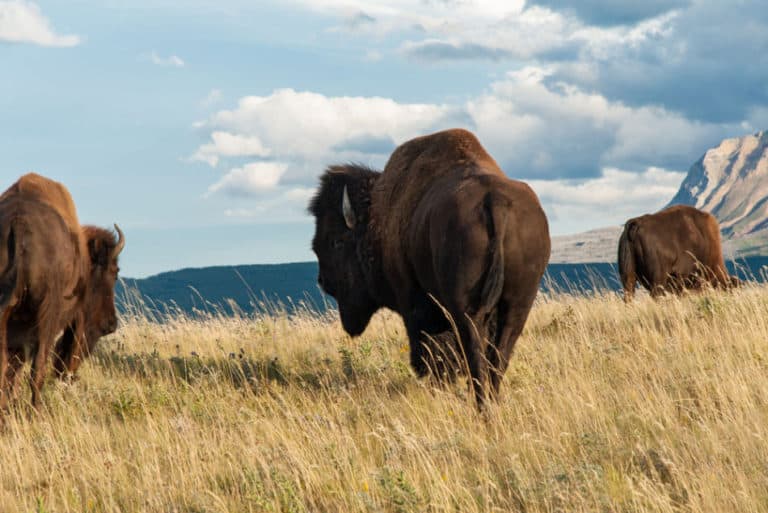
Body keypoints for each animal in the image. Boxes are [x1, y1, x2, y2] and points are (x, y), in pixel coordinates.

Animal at [309, 128, 550, 407]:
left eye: (336, 241)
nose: (323, 281)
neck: (378, 215)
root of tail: (496, 200)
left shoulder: (414, 303)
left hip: (465, 310)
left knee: (472, 354)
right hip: (517, 306)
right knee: (498, 357)